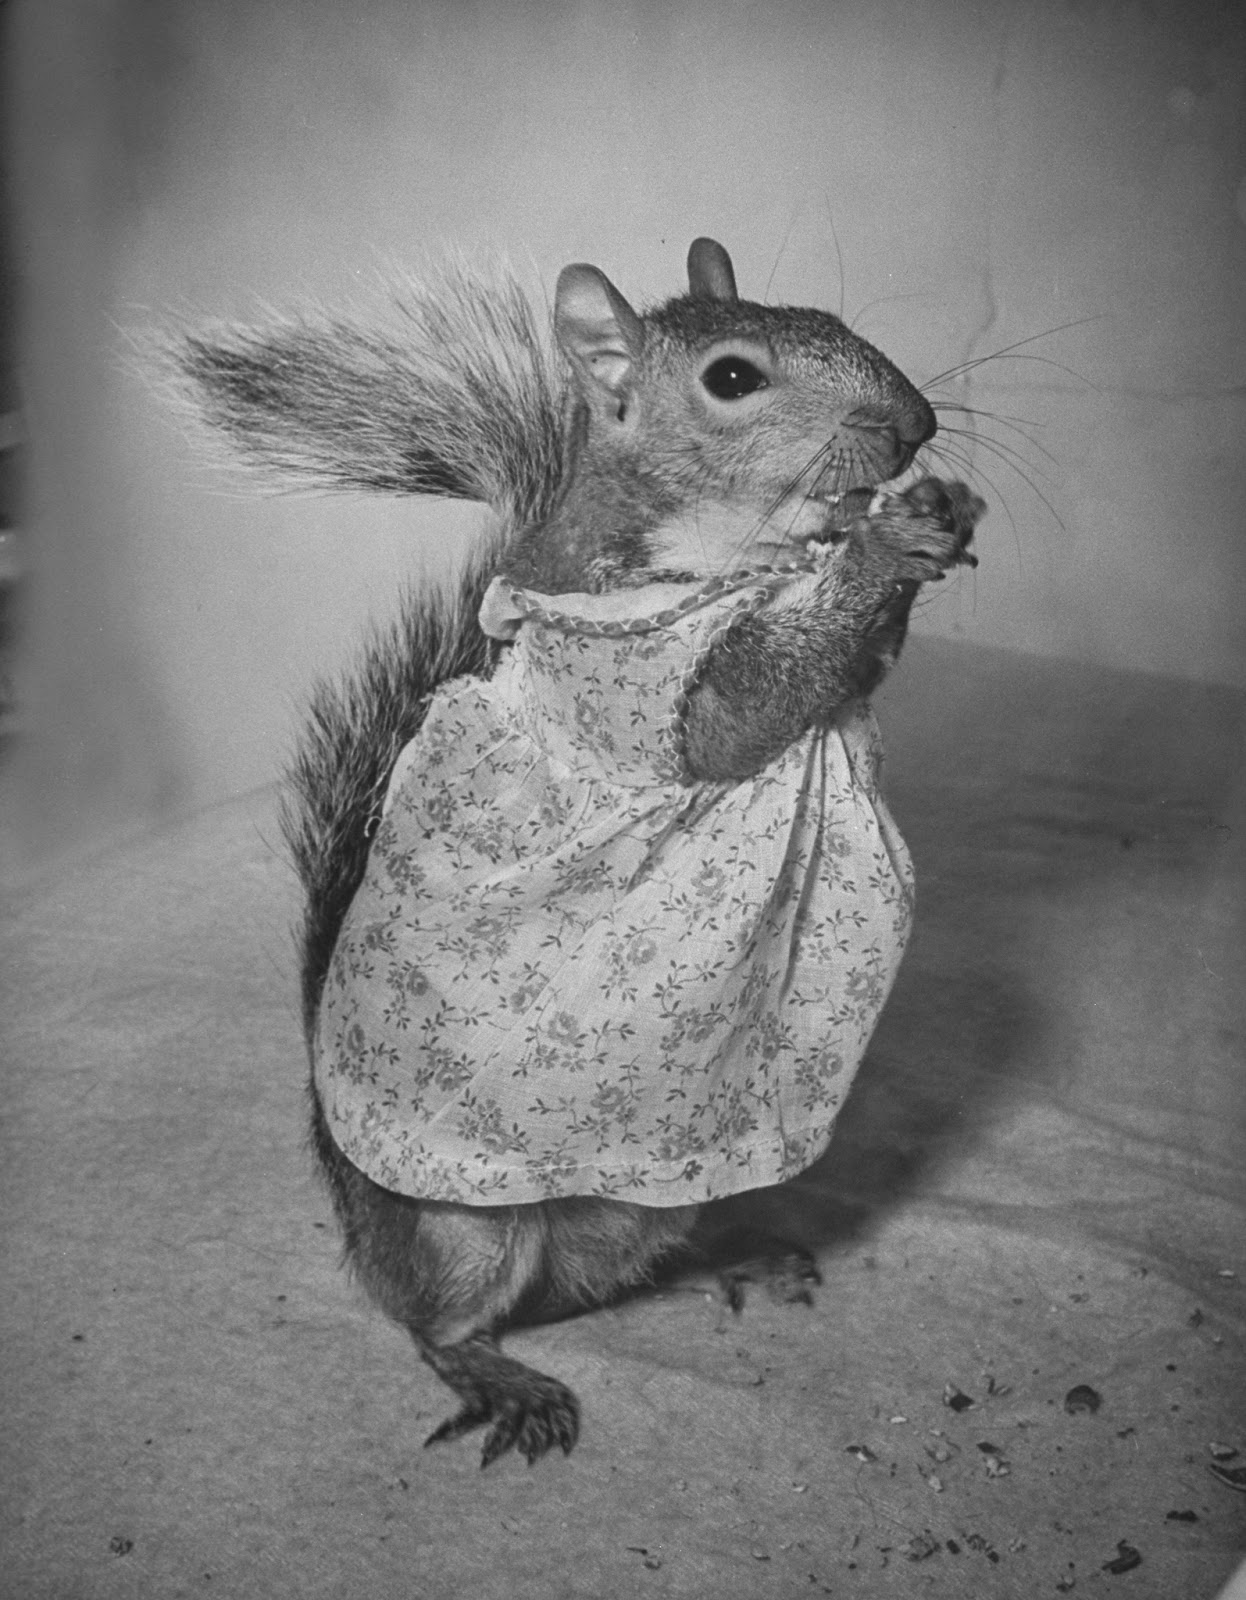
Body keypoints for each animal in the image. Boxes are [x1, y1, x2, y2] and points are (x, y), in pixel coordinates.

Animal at [173, 237, 984, 1468]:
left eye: (835, 321)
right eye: (733, 379)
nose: (914, 424)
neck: (725, 539)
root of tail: (349, 1202)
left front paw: (919, 520)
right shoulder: (628, 650)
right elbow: (743, 711)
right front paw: (881, 543)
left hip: (645, 1207)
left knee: (597, 1288)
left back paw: (735, 1262)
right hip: (459, 1232)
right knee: (439, 1321)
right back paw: (499, 1375)